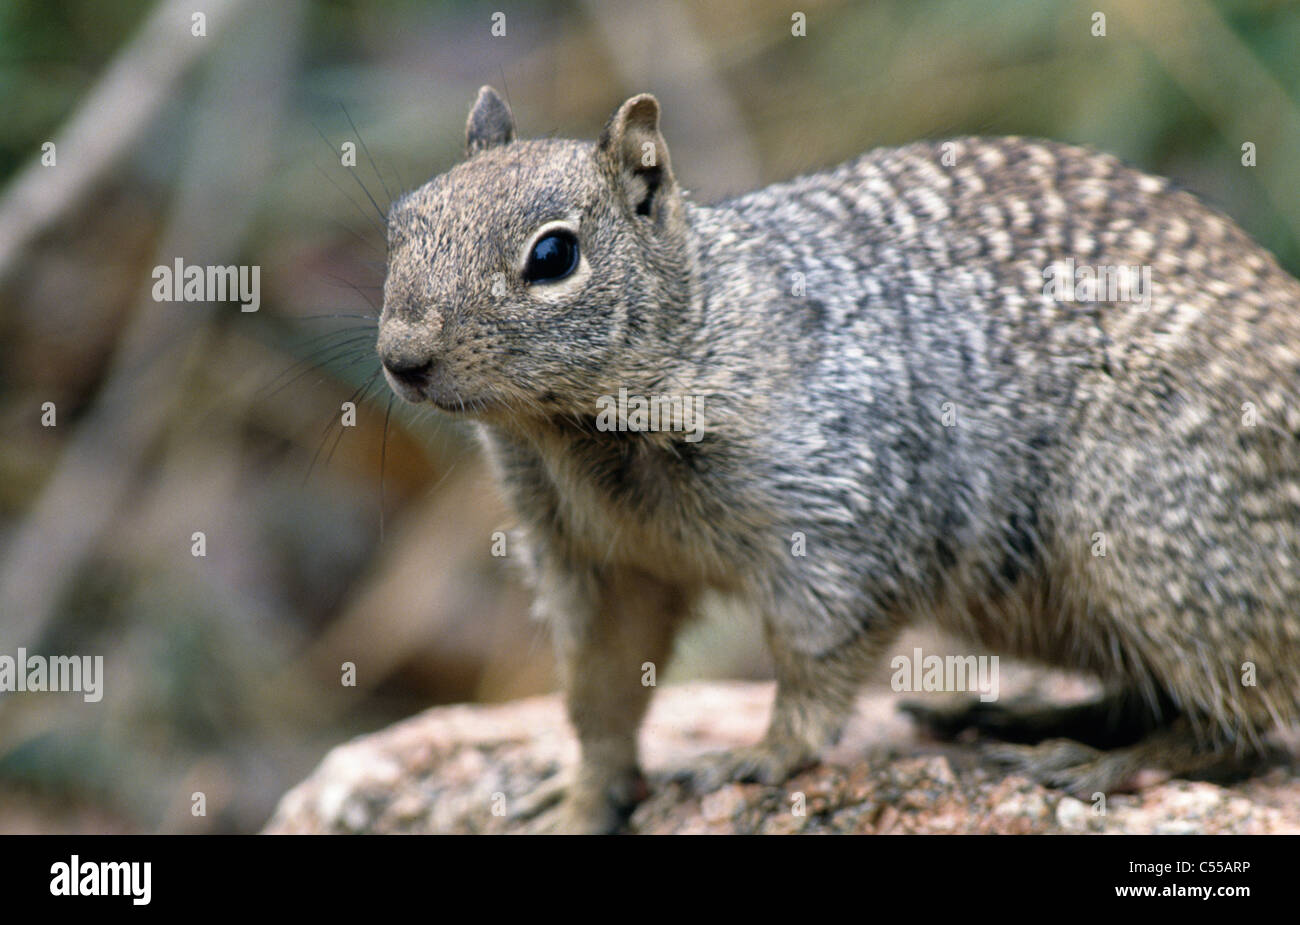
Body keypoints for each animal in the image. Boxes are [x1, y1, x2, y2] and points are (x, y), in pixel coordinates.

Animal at [377, 86, 1300, 833]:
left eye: (554, 256)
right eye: (400, 221)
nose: (400, 358)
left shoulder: (837, 523)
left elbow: (817, 659)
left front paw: (761, 756)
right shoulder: (596, 568)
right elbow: (598, 697)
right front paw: (577, 797)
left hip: (1157, 553)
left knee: (1243, 726)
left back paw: (1096, 759)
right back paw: (1017, 719)